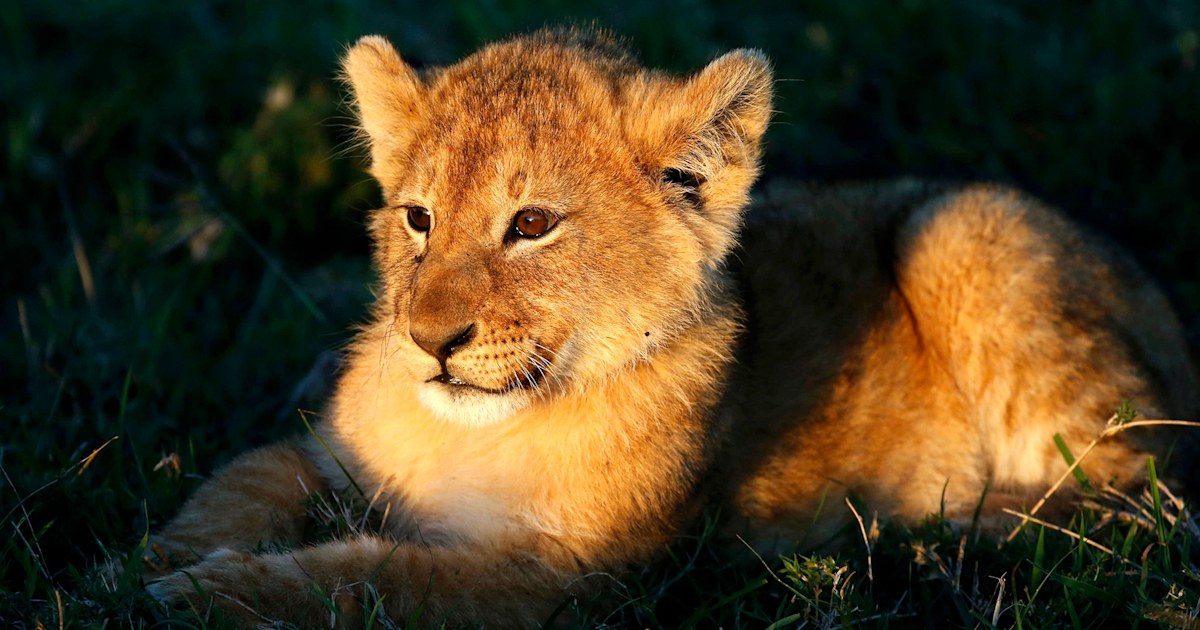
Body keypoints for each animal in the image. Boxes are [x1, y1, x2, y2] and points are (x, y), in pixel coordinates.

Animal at [143, 28, 1198, 627]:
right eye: (418, 218)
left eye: (532, 224)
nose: (429, 342)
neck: (483, 430)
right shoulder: (329, 457)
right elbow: (241, 482)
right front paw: (152, 563)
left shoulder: (576, 576)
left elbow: (372, 582)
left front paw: (204, 596)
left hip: (968, 228)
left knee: (1142, 498)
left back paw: (928, 527)